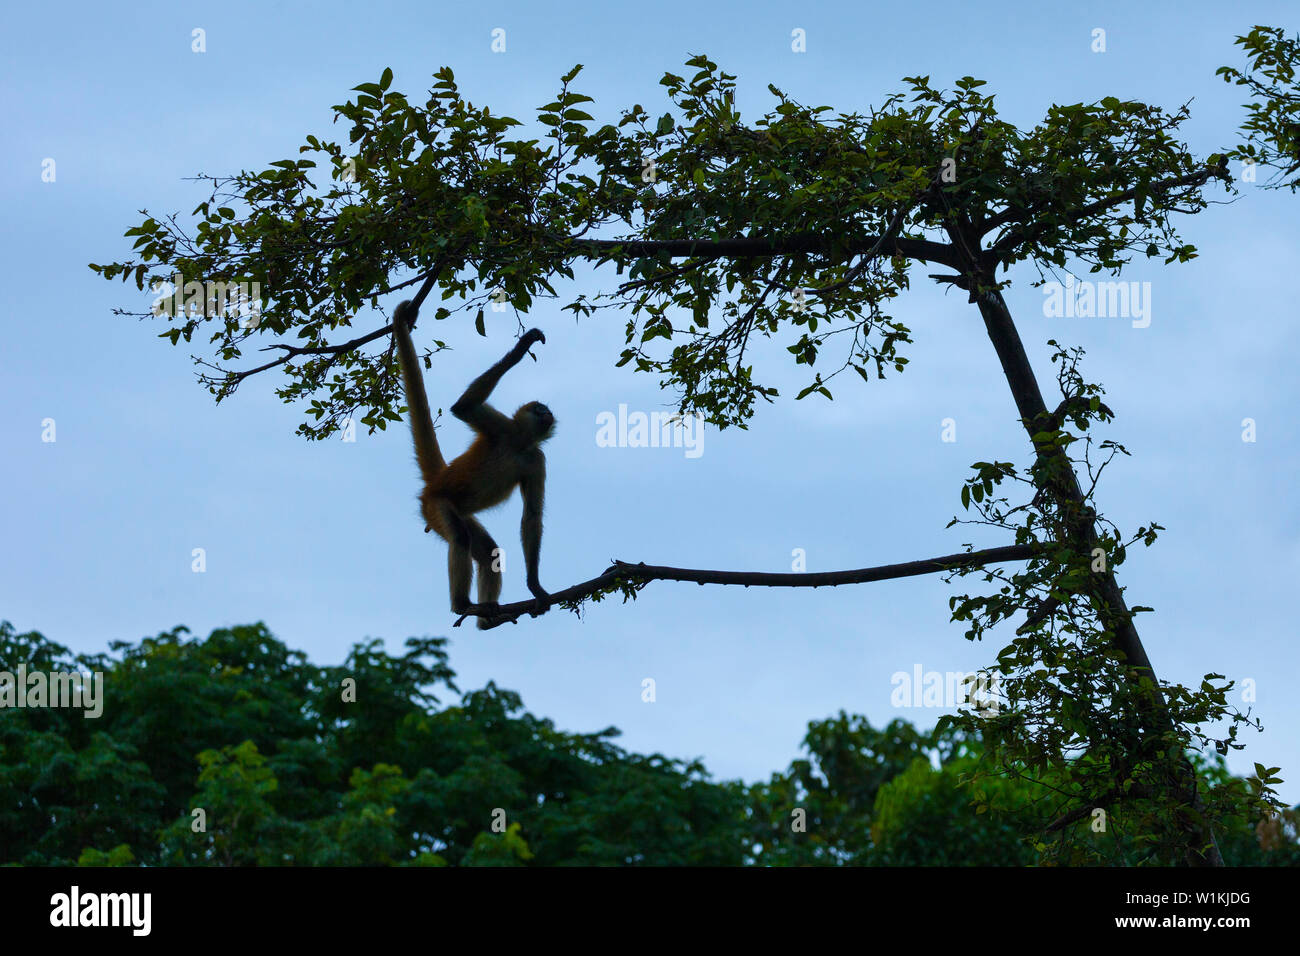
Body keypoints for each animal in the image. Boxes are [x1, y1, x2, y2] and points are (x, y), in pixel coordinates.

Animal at [391, 299, 555, 627]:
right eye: (538, 408)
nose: (547, 413)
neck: (519, 444)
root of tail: (437, 481)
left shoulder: (536, 459)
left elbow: (531, 517)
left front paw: (534, 586)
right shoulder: (501, 428)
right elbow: (462, 408)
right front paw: (522, 347)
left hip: (456, 511)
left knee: (489, 550)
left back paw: (487, 619)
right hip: (438, 505)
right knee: (459, 536)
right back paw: (463, 605)